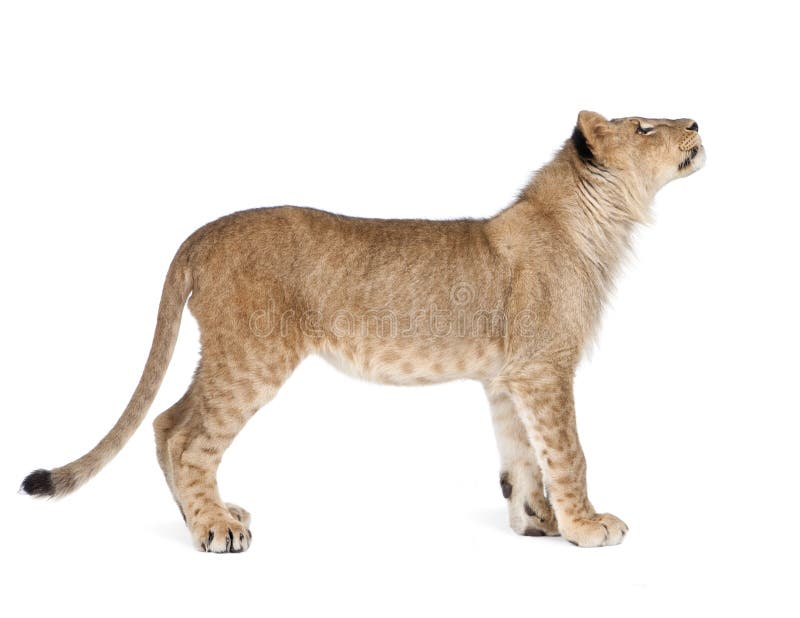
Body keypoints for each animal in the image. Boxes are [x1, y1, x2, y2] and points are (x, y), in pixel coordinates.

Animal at [21, 111, 704, 551]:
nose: (695, 123)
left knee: (166, 422)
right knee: (188, 434)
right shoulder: (545, 367)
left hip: (230, 352)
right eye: (644, 127)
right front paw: (588, 527)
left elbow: (522, 454)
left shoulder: (508, 375)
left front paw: (539, 523)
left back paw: (204, 513)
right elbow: (567, 452)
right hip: (252, 353)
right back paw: (215, 529)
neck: (599, 221)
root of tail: (204, 232)